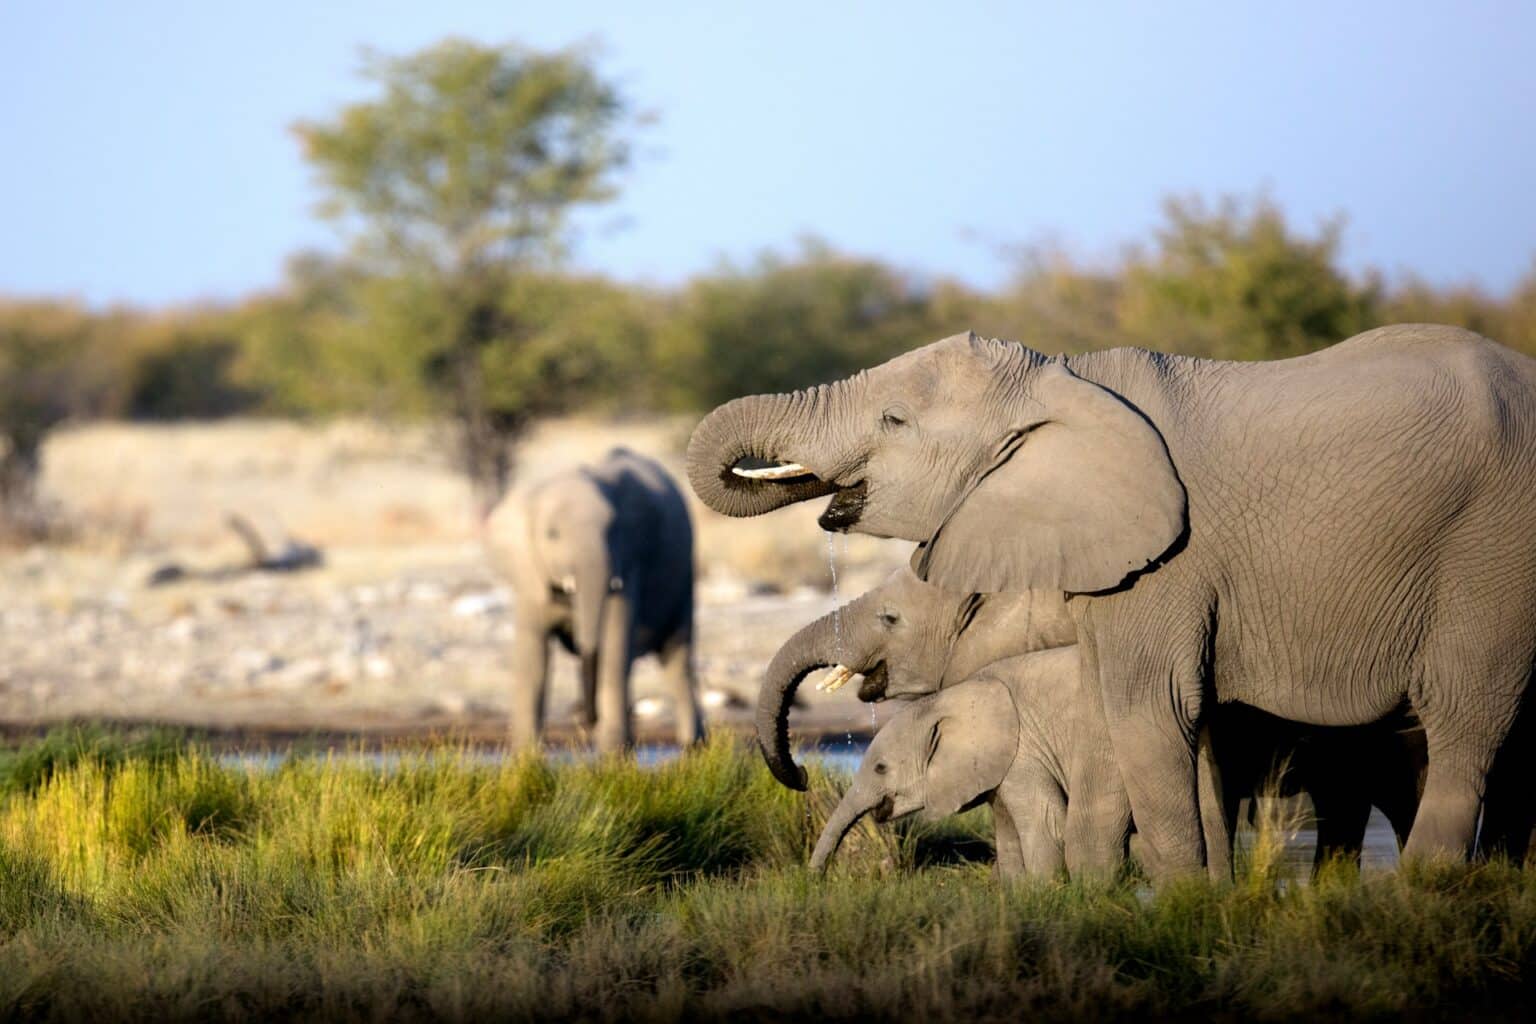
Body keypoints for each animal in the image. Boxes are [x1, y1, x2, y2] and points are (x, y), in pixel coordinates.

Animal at [485, 447, 704, 753]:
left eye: (612, 531)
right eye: (553, 534)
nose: (585, 717)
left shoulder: (629, 559)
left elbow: (613, 643)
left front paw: (613, 755)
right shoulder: (530, 575)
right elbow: (533, 658)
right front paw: (525, 756)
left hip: (685, 578)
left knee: (676, 659)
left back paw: (693, 747)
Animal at [688, 324, 1536, 874]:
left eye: (894, 420)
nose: (801, 775)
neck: (1064, 380)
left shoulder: (1170, 562)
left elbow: (1146, 709)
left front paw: (1180, 911)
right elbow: (1184, 730)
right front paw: (1206, 900)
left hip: (1492, 550)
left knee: (1465, 719)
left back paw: (1423, 897)